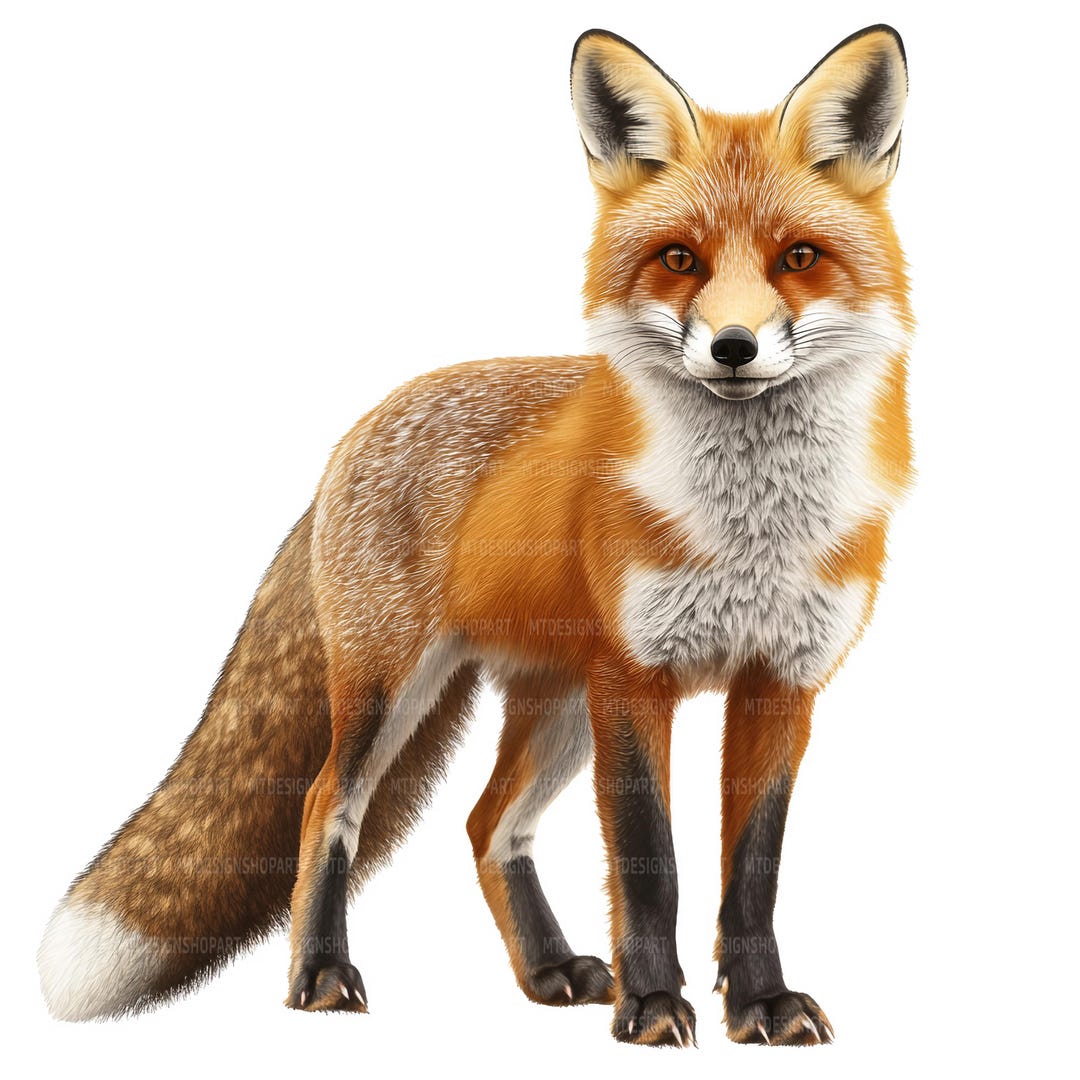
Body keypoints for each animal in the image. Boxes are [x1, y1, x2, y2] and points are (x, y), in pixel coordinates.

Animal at [38, 26, 912, 1047]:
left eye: (799, 257)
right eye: (680, 259)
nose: (733, 347)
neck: (751, 530)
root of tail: (354, 436)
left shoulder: (782, 683)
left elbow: (753, 873)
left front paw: (762, 1004)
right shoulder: (636, 678)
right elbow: (650, 862)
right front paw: (655, 1004)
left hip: (560, 708)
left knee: (488, 823)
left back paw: (547, 970)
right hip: (398, 686)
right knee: (325, 804)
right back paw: (321, 974)